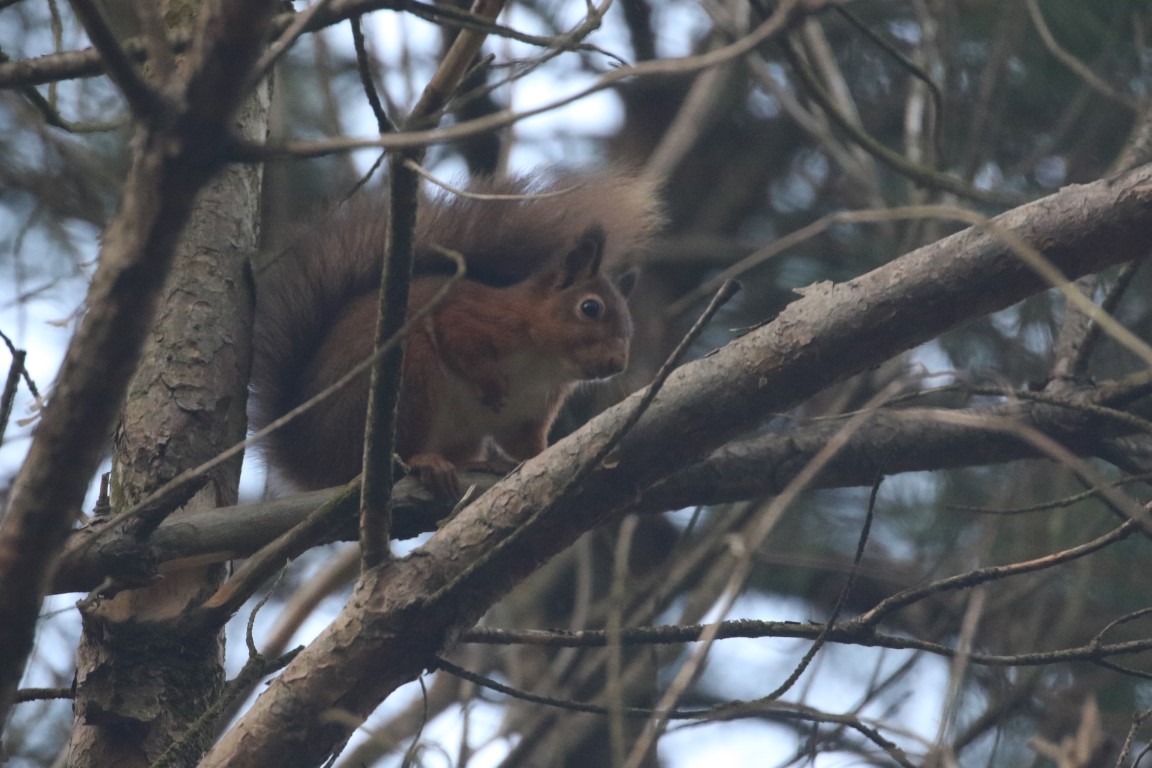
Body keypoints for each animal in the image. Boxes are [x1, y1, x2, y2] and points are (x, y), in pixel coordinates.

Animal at [249, 170, 662, 495]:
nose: (617, 364)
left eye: (629, 327)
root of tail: (314, 463)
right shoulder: (475, 316)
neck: (545, 364)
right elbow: (458, 338)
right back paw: (426, 462)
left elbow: (526, 444)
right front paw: (491, 383)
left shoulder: (530, 412)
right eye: (590, 308)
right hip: (408, 377)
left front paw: (545, 456)